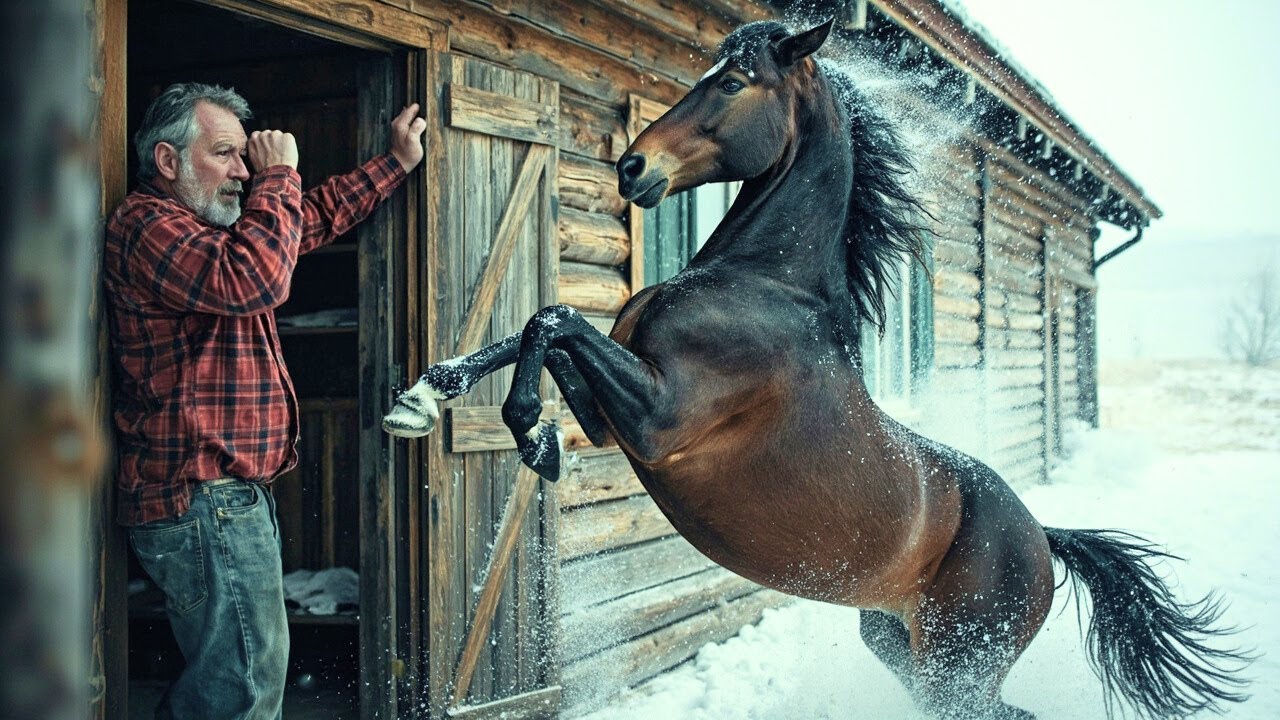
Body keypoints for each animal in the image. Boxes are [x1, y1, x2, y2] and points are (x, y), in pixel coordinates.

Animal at [383, 20, 1249, 719]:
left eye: (734, 81)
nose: (632, 167)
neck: (768, 283)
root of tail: (1042, 536)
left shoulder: (658, 421)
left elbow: (553, 320)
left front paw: (529, 435)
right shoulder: (614, 417)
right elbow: (541, 328)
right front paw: (425, 398)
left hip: (958, 663)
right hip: (903, 648)